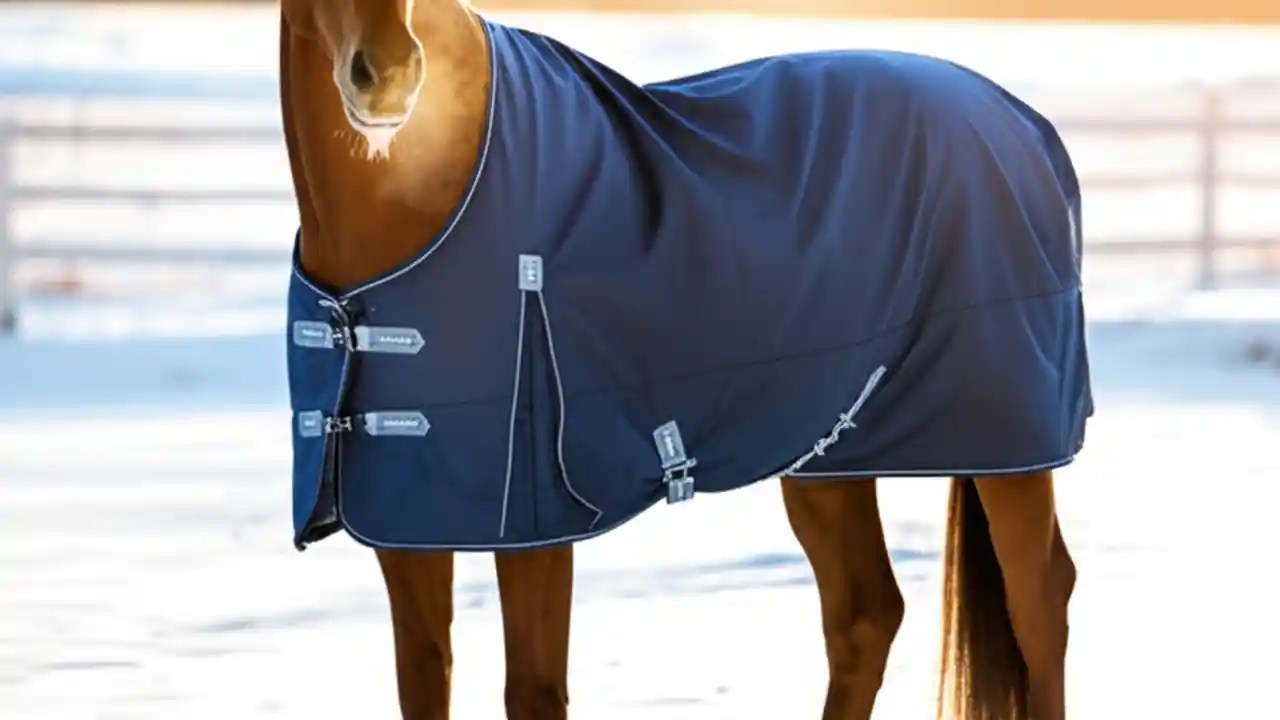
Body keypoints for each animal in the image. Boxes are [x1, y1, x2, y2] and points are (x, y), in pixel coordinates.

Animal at [277, 1, 1088, 718]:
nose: (387, 77)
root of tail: (1024, 121)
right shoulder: (403, 521)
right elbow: (425, 682)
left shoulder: (540, 524)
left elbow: (533, 691)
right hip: (828, 455)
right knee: (865, 614)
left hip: (1007, 443)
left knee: (1039, 600)